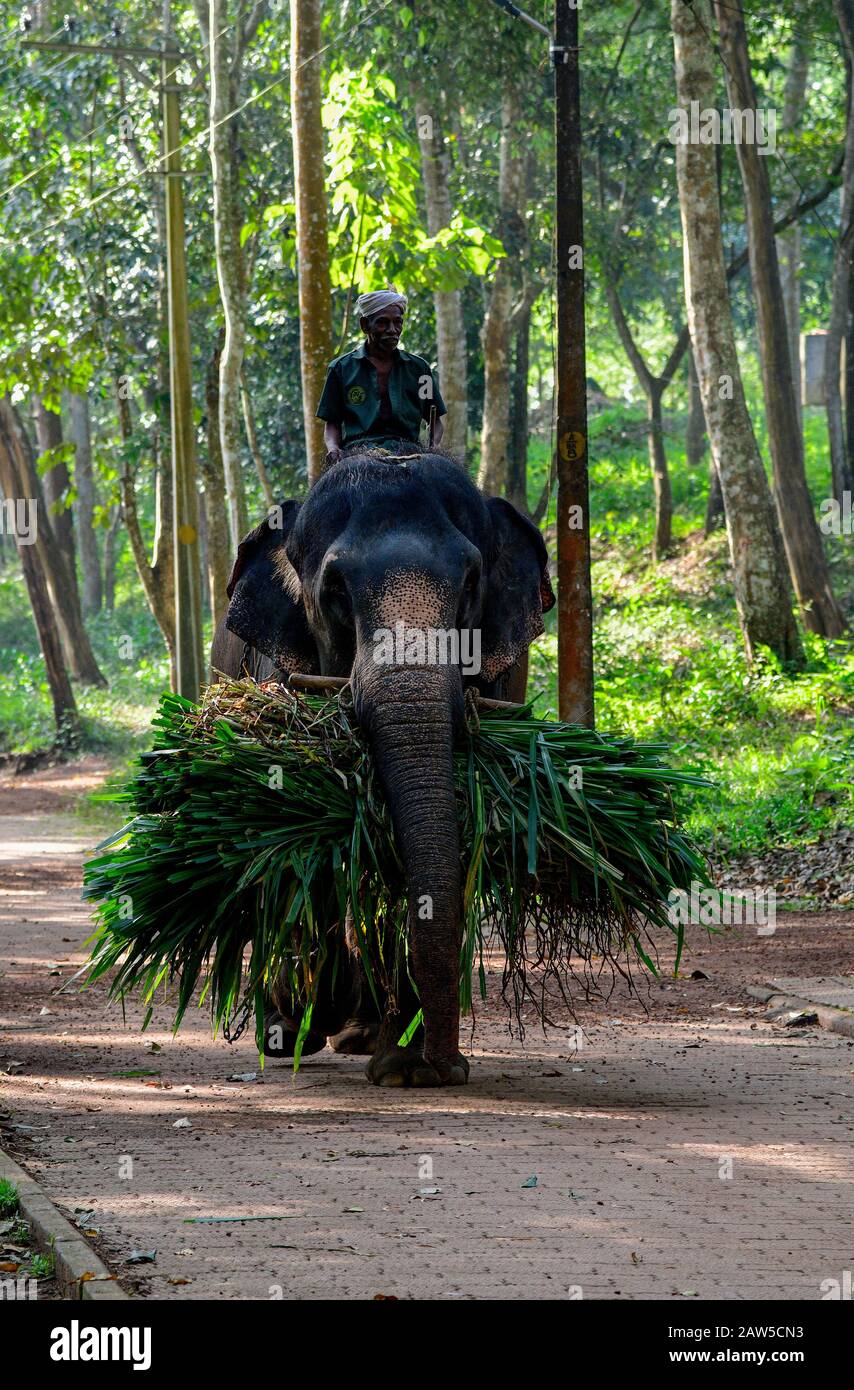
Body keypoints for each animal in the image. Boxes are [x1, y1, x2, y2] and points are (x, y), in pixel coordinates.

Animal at [211, 448, 555, 1087]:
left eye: (471, 583)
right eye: (336, 590)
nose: (451, 1067)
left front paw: (407, 1070)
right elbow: (306, 846)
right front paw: (314, 1023)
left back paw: (359, 1032)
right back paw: (294, 1029)